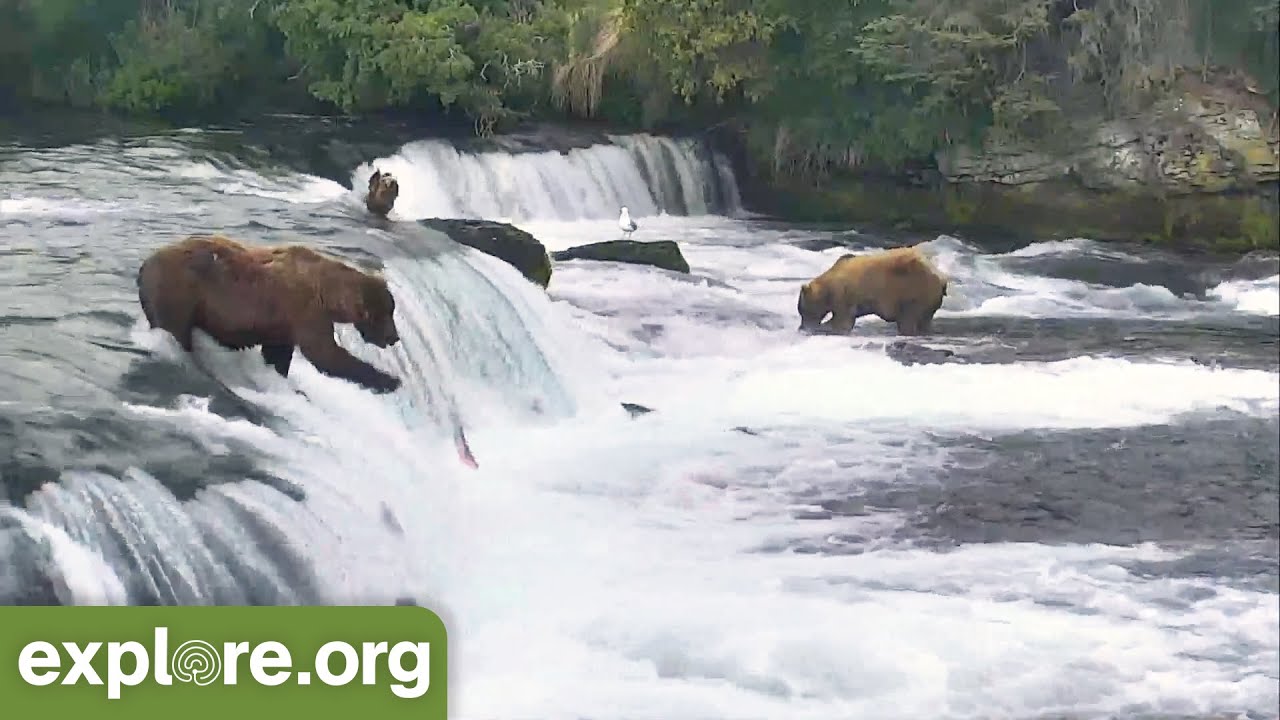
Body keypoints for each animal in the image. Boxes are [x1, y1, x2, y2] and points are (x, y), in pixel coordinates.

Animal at [136, 233, 403, 393]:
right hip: (177, 292)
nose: (394, 337)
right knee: (175, 330)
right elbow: (325, 354)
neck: (326, 293)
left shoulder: (282, 324)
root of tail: (145, 264)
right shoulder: (304, 310)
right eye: (386, 314)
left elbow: (279, 354)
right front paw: (390, 379)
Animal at [797, 245, 948, 336]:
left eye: (802, 310)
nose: (802, 327)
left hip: (913, 291)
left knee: (908, 318)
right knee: (925, 320)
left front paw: (826, 327)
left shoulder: (843, 294)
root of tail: (941, 277)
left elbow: (843, 320)